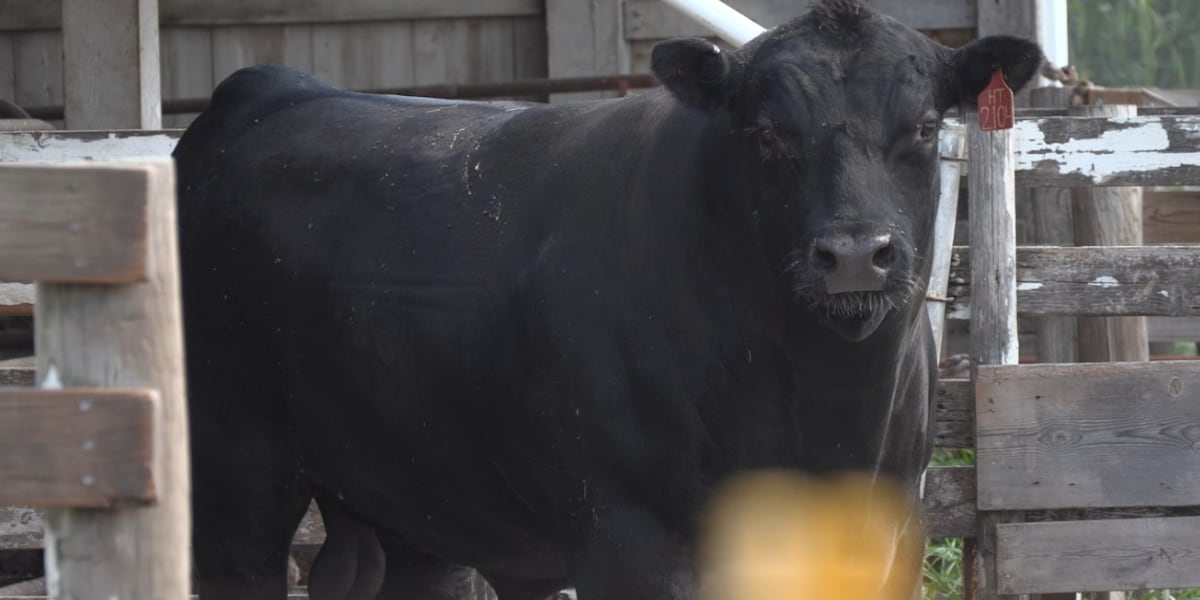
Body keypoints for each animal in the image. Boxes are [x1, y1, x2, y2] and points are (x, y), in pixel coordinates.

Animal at [173, 1, 1041, 598]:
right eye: (767, 133)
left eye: (924, 126)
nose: (856, 253)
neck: (821, 410)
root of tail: (263, 90)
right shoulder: (633, 547)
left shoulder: (884, 536)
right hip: (234, 474)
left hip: (402, 492)